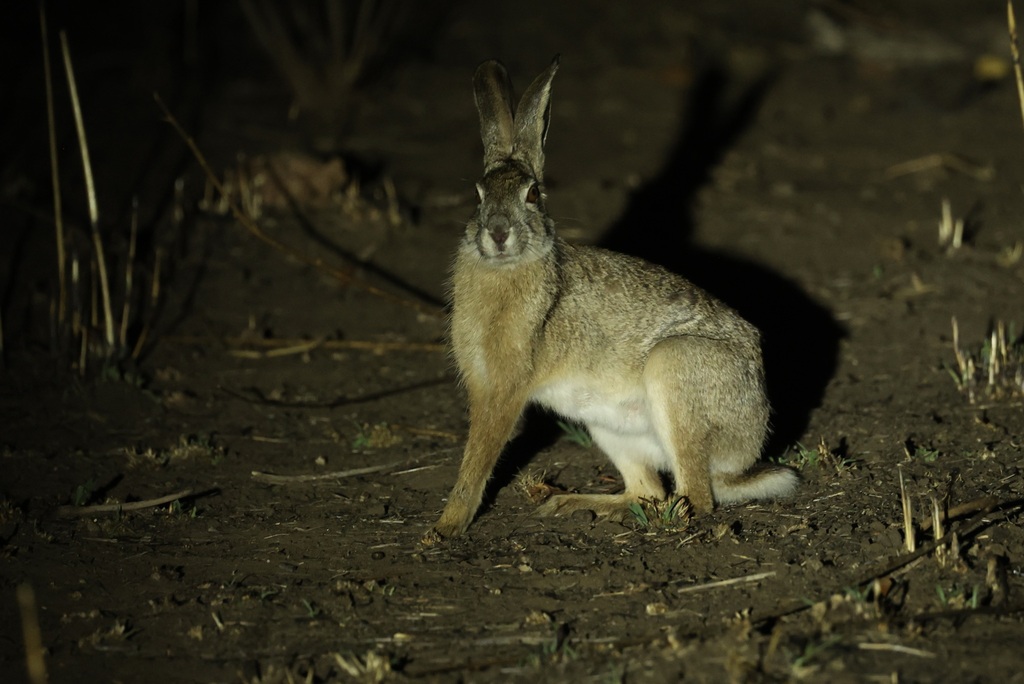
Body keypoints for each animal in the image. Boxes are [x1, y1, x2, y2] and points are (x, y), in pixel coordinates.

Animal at [427, 57, 799, 541]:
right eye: (477, 194)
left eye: (533, 194)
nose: (497, 232)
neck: (507, 268)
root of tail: (742, 457)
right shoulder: (482, 381)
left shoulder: (507, 388)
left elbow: (480, 457)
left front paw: (445, 527)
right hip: (608, 426)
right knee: (648, 490)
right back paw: (574, 504)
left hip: (674, 369)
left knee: (697, 498)